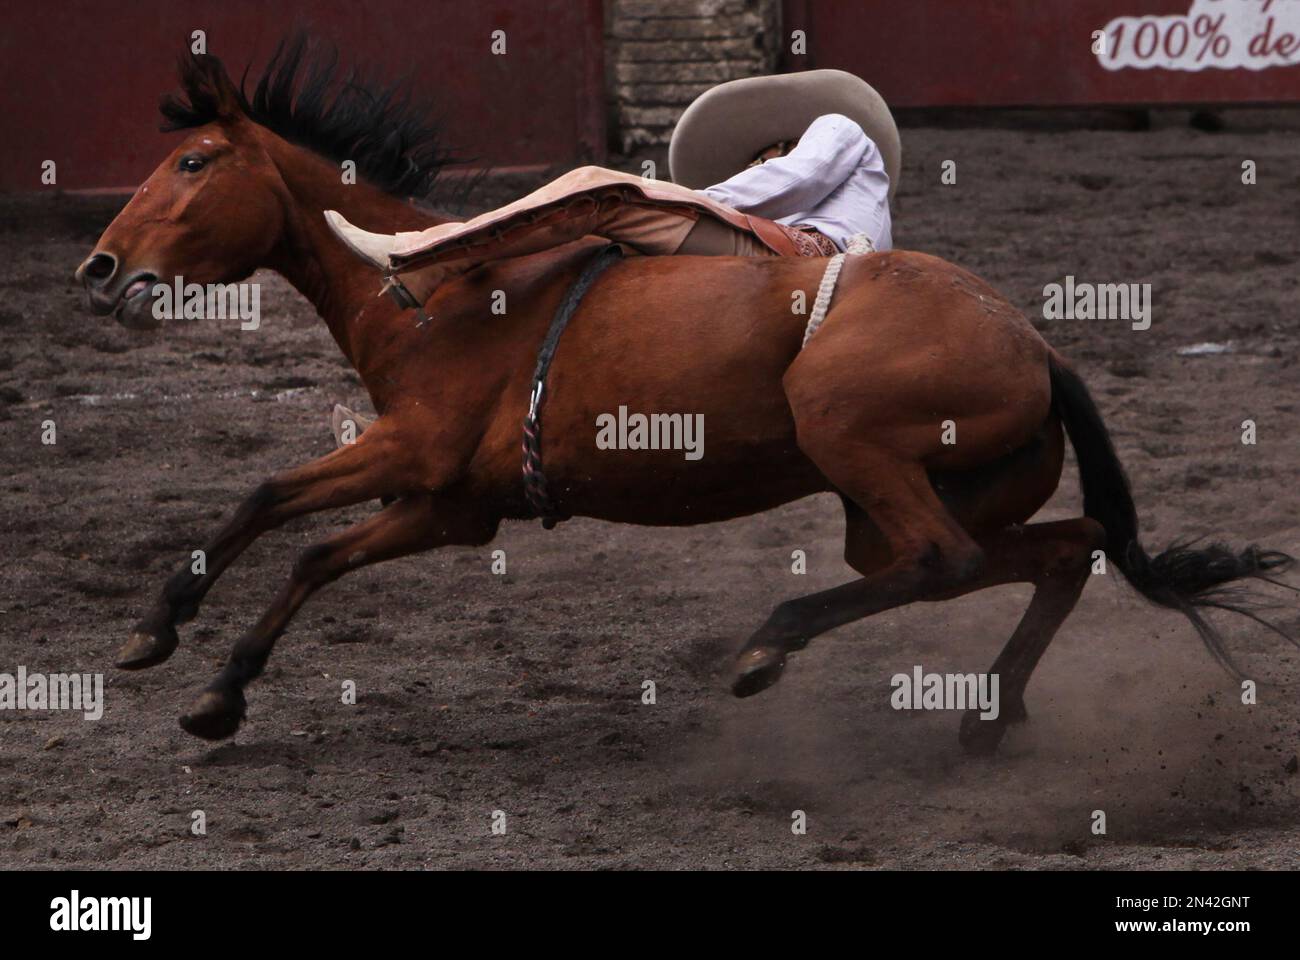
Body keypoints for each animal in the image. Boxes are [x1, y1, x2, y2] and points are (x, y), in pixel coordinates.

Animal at [75, 39, 1291, 750]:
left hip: (854, 441)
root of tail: (1037, 347)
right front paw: (205, 680)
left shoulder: (412, 456)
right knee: (1056, 549)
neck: (439, 298)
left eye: (192, 164)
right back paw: (990, 716)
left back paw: (770, 645)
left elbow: (274, 505)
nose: (98, 267)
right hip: (918, 495)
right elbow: (304, 543)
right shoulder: (450, 504)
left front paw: (167, 642)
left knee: (944, 563)